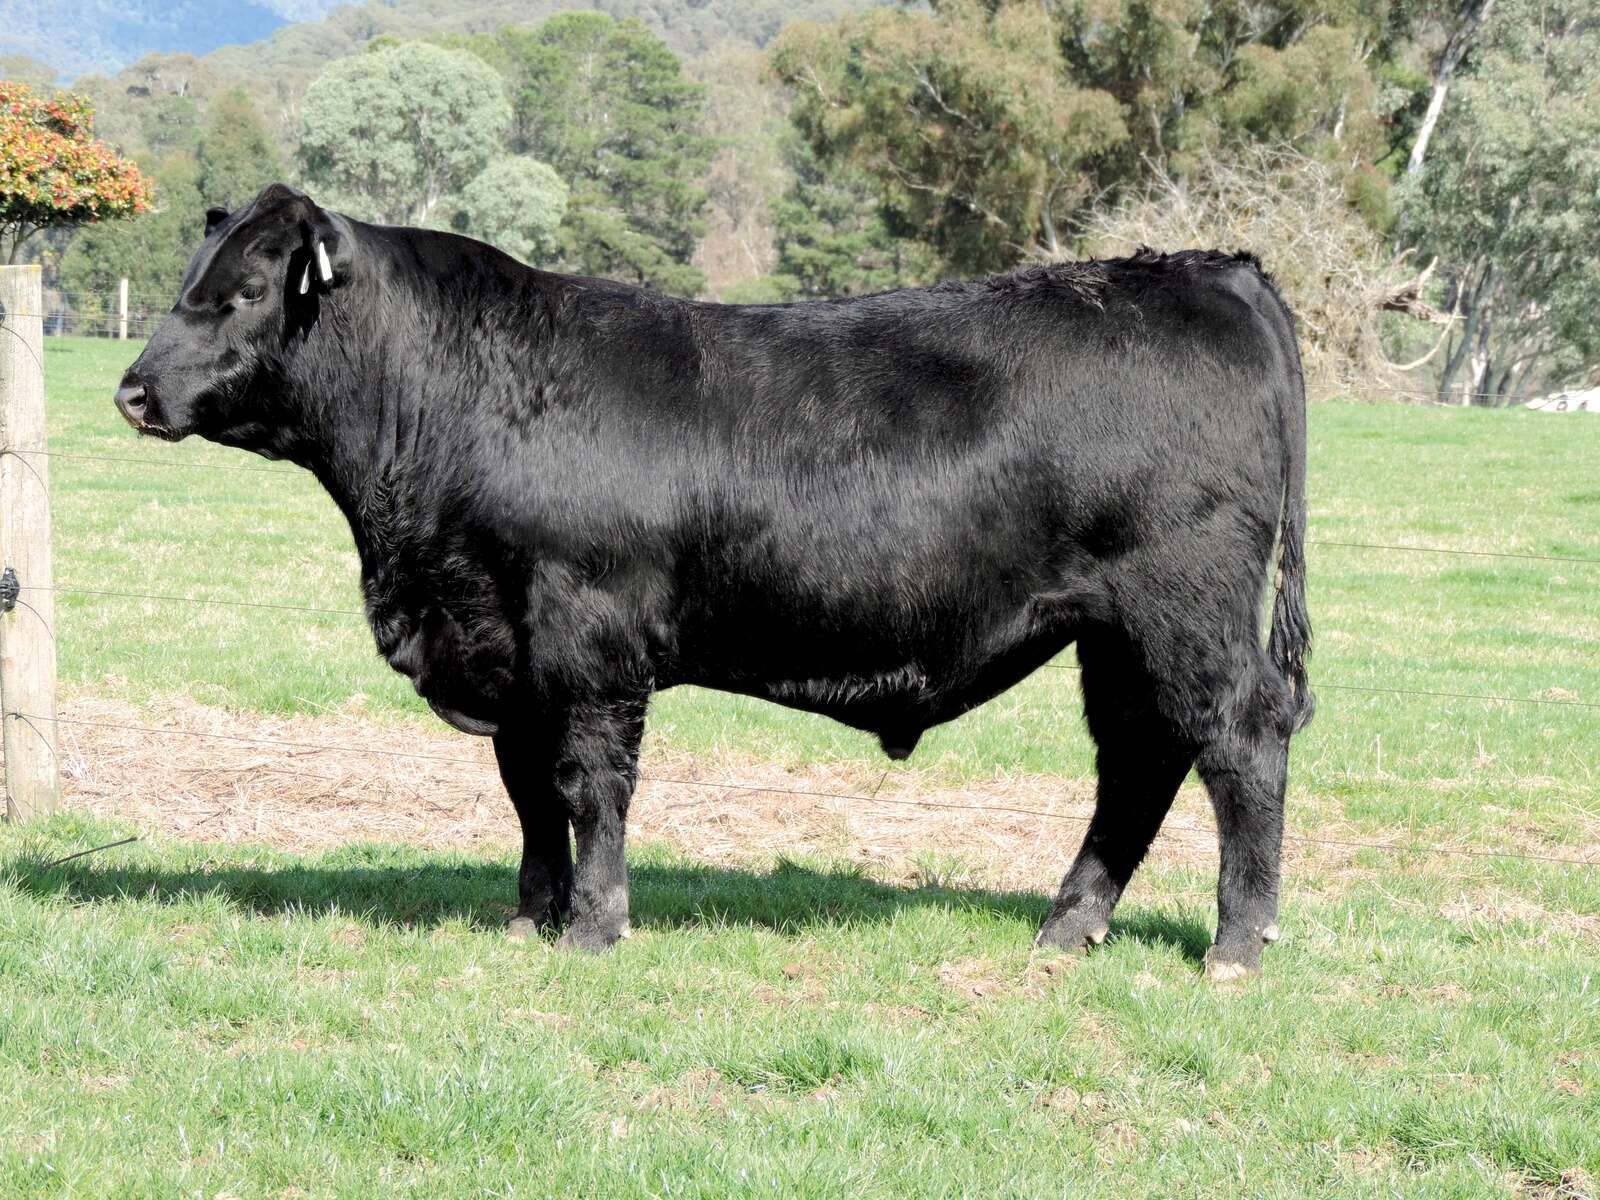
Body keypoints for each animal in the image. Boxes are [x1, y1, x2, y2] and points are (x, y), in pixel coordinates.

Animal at [114, 183, 1312, 978]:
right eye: (187, 287)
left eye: (245, 293)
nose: (130, 392)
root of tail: (1205, 267)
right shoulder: (508, 649)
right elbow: (526, 793)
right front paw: (530, 918)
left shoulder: (588, 635)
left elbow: (589, 785)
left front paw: (595, 926)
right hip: (1112, 632)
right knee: (1139, 760)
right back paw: (1068, 928)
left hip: (1186, 605)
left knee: (1238, 739)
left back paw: (1235, 945)